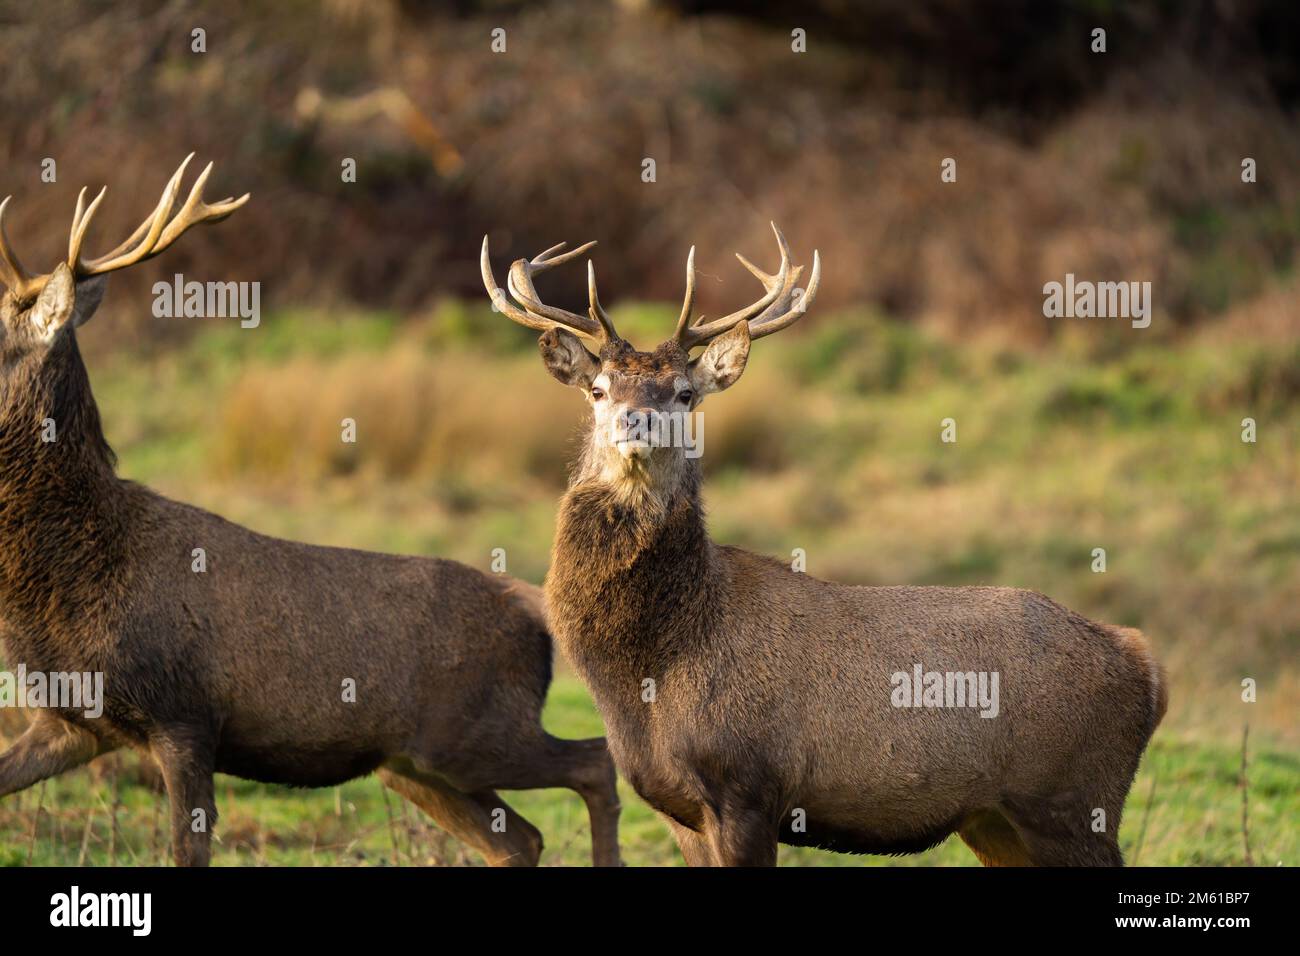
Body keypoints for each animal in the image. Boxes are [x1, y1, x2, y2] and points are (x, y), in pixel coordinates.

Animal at [0, 156, 621, 867]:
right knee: (521, 837)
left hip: (476, 732)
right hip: (415, 764)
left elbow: (189, 847)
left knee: (595, 764)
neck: (80, 573)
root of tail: (533, 607)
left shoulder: (184, 713)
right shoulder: (72, 724)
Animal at [481, 224, 1168, 866]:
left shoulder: (748, 787)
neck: (653, 671)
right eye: (599, 389)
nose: (636, 420)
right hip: (998, 820)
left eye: (684, 392)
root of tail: (1147, 666)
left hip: (1073, 801)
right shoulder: (678, 808)